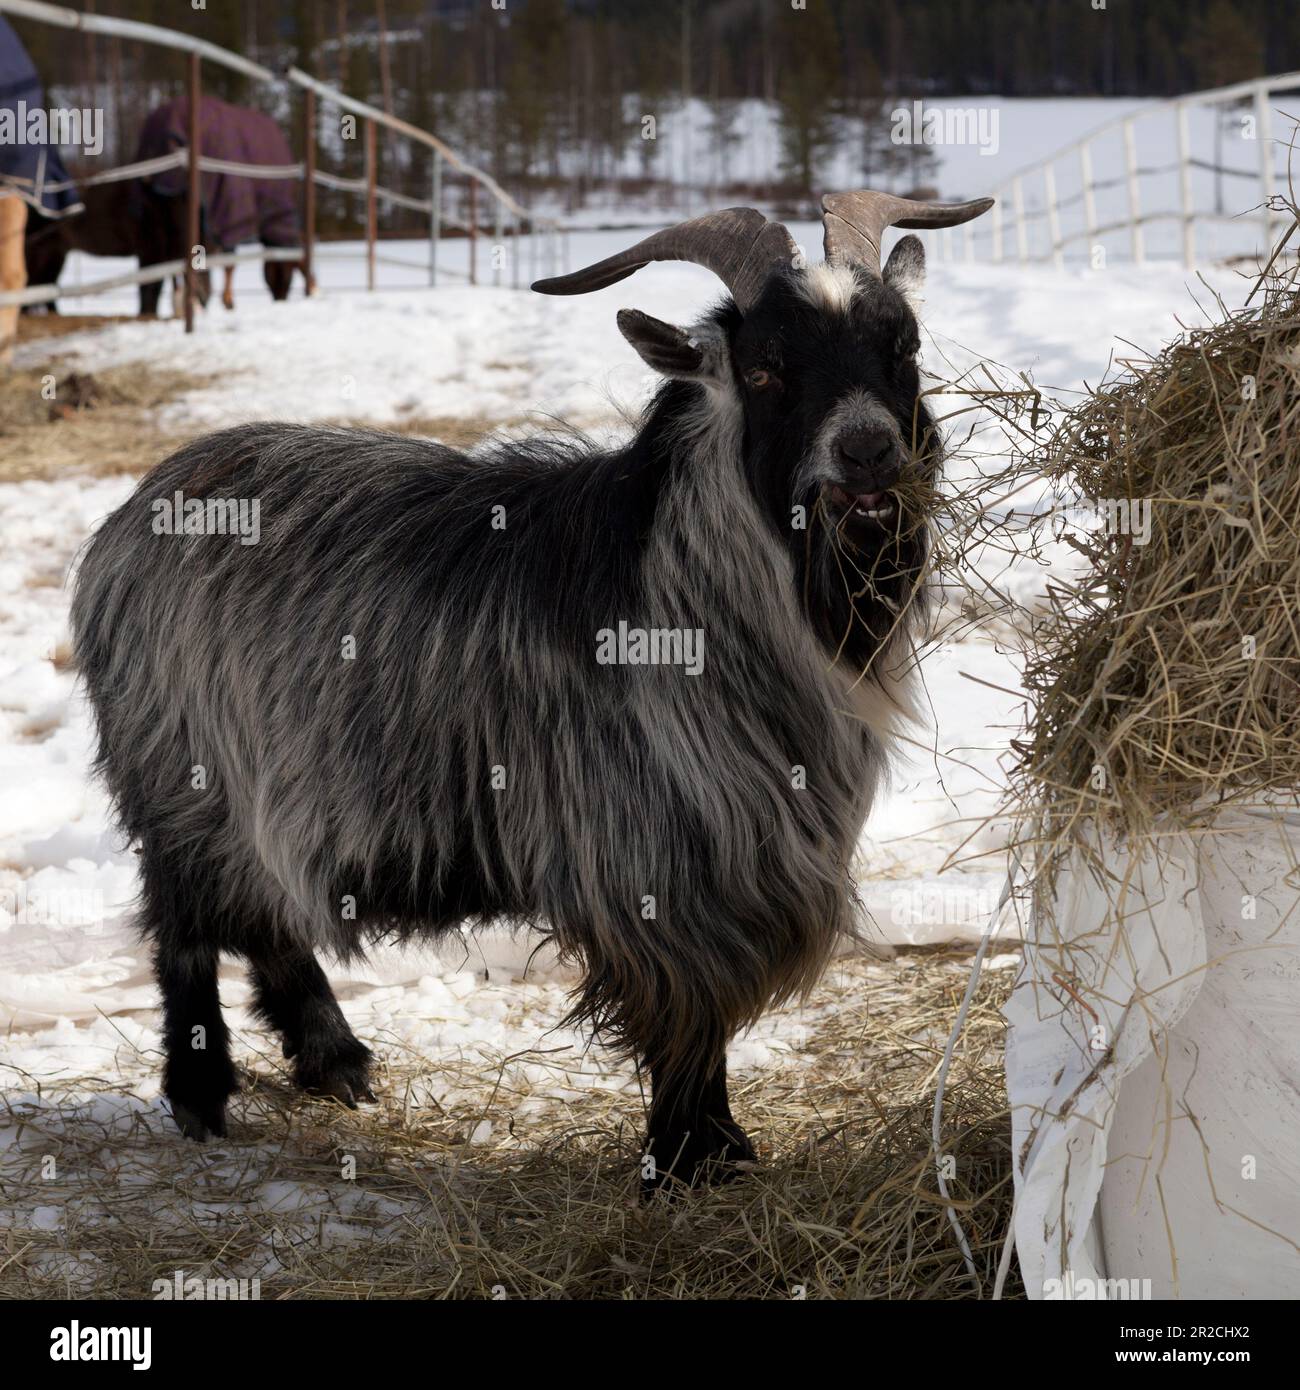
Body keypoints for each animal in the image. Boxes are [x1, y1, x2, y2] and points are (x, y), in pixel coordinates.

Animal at [71, 189, 992, 1186]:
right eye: (764, 370)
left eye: (902, 345)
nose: (868, 453)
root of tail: (140, 507)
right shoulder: (650, 862)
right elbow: (687, 1013)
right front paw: (687, 1159)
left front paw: (715, 1153)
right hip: (183, 777)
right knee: (188, 924)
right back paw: (202, 1093)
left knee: (267, 915)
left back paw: (336, 1062)